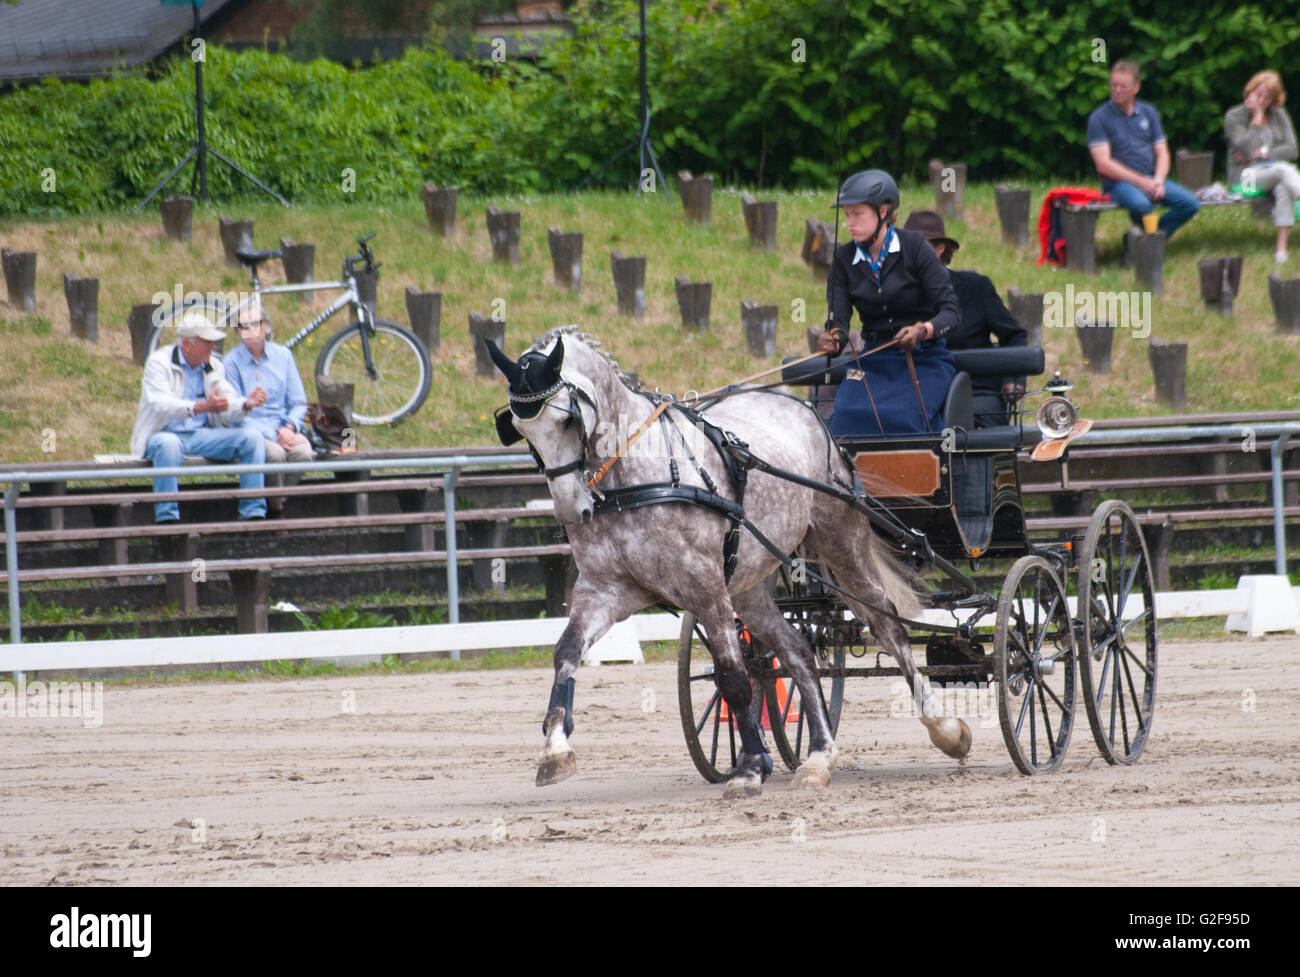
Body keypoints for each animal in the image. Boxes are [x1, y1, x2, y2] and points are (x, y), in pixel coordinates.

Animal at [486, 327, 971, 799]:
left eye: (567, 419)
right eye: (522, 431)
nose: (573, 510)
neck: (636, 478)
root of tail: (800, 406)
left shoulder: (705, 587)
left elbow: (733, 678)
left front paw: (751, 768)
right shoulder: (604, 592)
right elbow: (566, 653)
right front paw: (554, 750)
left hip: (841, 541)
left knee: (887, 626)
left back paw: (944, 729)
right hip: (750, 584)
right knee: (798, 652)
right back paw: (818, 757)